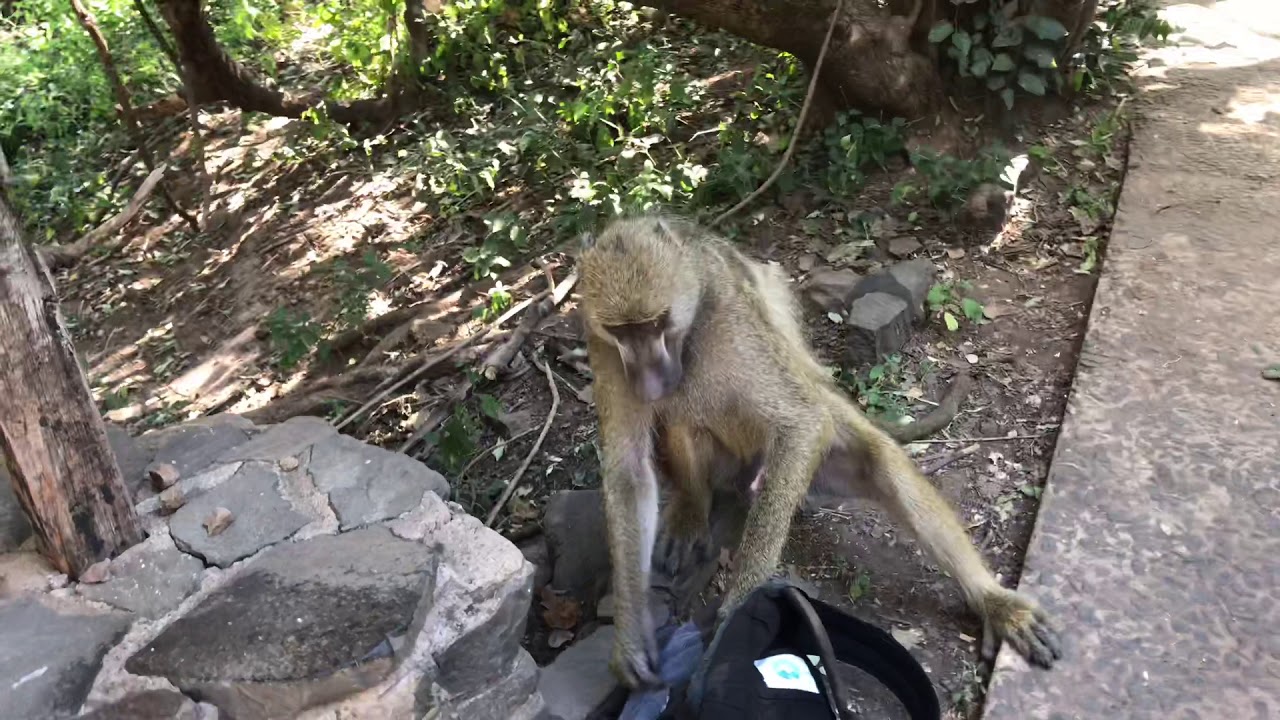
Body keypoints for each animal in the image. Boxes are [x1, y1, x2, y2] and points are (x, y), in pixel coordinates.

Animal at [577, 215, 1062, 689]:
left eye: (656, 324)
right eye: (621, 331)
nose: (648, 380)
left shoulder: (730, 322)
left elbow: (802, 421)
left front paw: (736, 612)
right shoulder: (601, 347)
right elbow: (629, 472)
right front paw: (630, 639)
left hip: (812, 468)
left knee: (876, 461)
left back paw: (993, 601)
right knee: (682, 421)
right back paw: (692, 508)